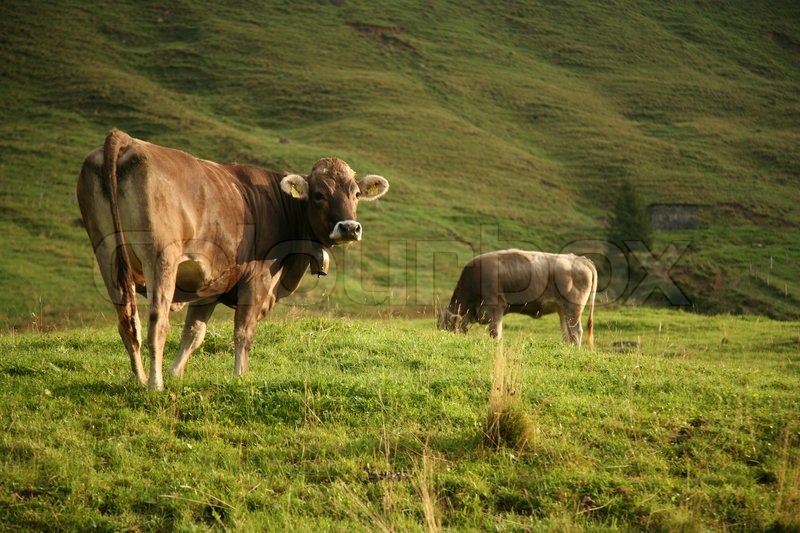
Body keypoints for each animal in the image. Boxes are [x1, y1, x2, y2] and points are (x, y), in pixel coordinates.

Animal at [77, 129, 389, 390]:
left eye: (356, 193)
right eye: (319, 194)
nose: (349, 227)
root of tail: (126, 140)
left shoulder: (210, 283)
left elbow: (194, 333)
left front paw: (177, 373)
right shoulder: (257, 278)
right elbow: (243, 332)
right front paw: (240, 376)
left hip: (107, 255)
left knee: (128, 323)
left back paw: (140, 378)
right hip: (160, 257)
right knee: (157, 323)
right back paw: (155, 384)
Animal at [437, 249, 597, 347]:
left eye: (447, 326)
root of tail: (580, 259)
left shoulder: (496, 308)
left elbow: (495, 332)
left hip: (573, 308)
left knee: (576, 331)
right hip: (562, 310)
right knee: (567, 332)